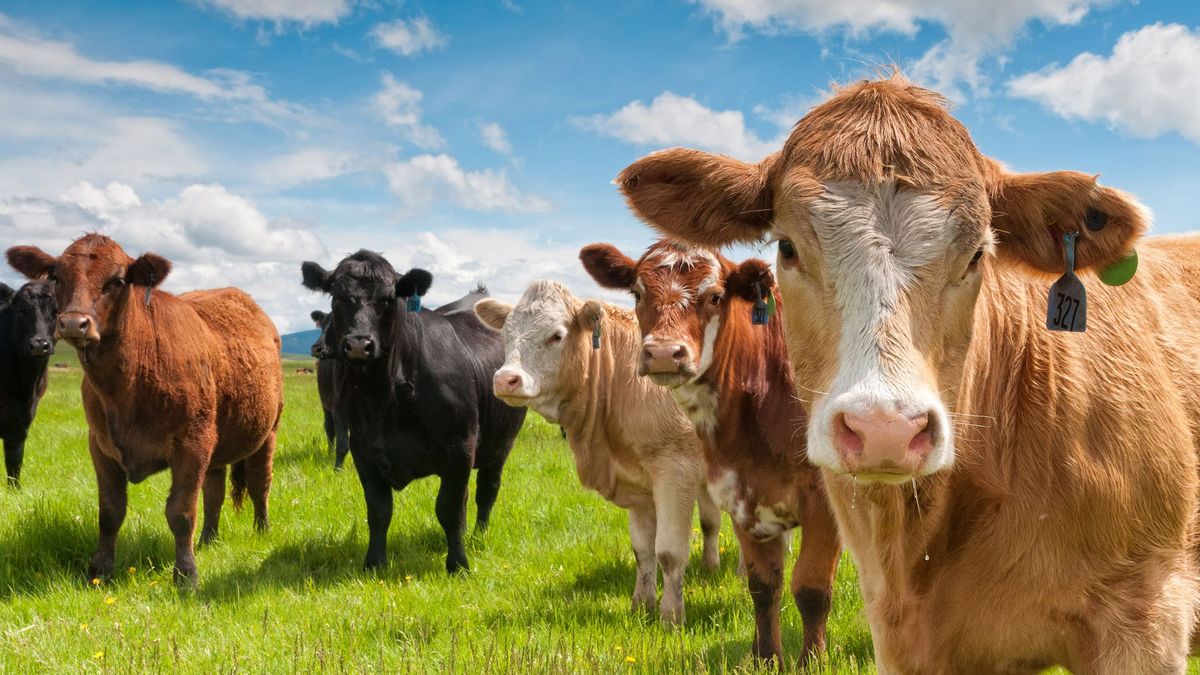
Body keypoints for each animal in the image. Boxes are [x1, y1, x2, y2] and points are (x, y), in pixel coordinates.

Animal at [6, 234, 283, 587]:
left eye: (118, 280)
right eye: (56, 276)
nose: (73, 323)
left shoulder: (192, 446)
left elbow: (181, 512)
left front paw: (186, 576)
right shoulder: (101, 446)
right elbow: (110, 512)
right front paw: (100, 571)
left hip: (268, 430)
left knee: (260, 482)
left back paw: (262, 530)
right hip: (217, 439)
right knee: (214, 491)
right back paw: (208, 539)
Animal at [300, 252, 526, 574]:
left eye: (388, 298)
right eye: (337, 297)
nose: (358, 344)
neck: (384, 397)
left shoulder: (460, 448)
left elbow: (448, 509)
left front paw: (458, 564)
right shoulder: (363, 449)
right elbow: (379, 510)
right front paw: (374, 563)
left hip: (500, 445)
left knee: (486, 492)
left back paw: (477, 537)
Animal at [474, 280, 722, 625]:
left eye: (556, 335)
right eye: (506, 334)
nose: (505, 379)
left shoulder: (676, 471)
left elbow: (669, 552)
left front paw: (671, 617)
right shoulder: (637, 482)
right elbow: (643, 549)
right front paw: (641, 606)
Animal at [581, 241, 840, 661]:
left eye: (715, 296)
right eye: (637, 294)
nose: (664, 353)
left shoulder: (825, 500)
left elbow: (812, 587)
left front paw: (813, 661)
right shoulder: (742, 492)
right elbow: (763, 585)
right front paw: (766, 658)